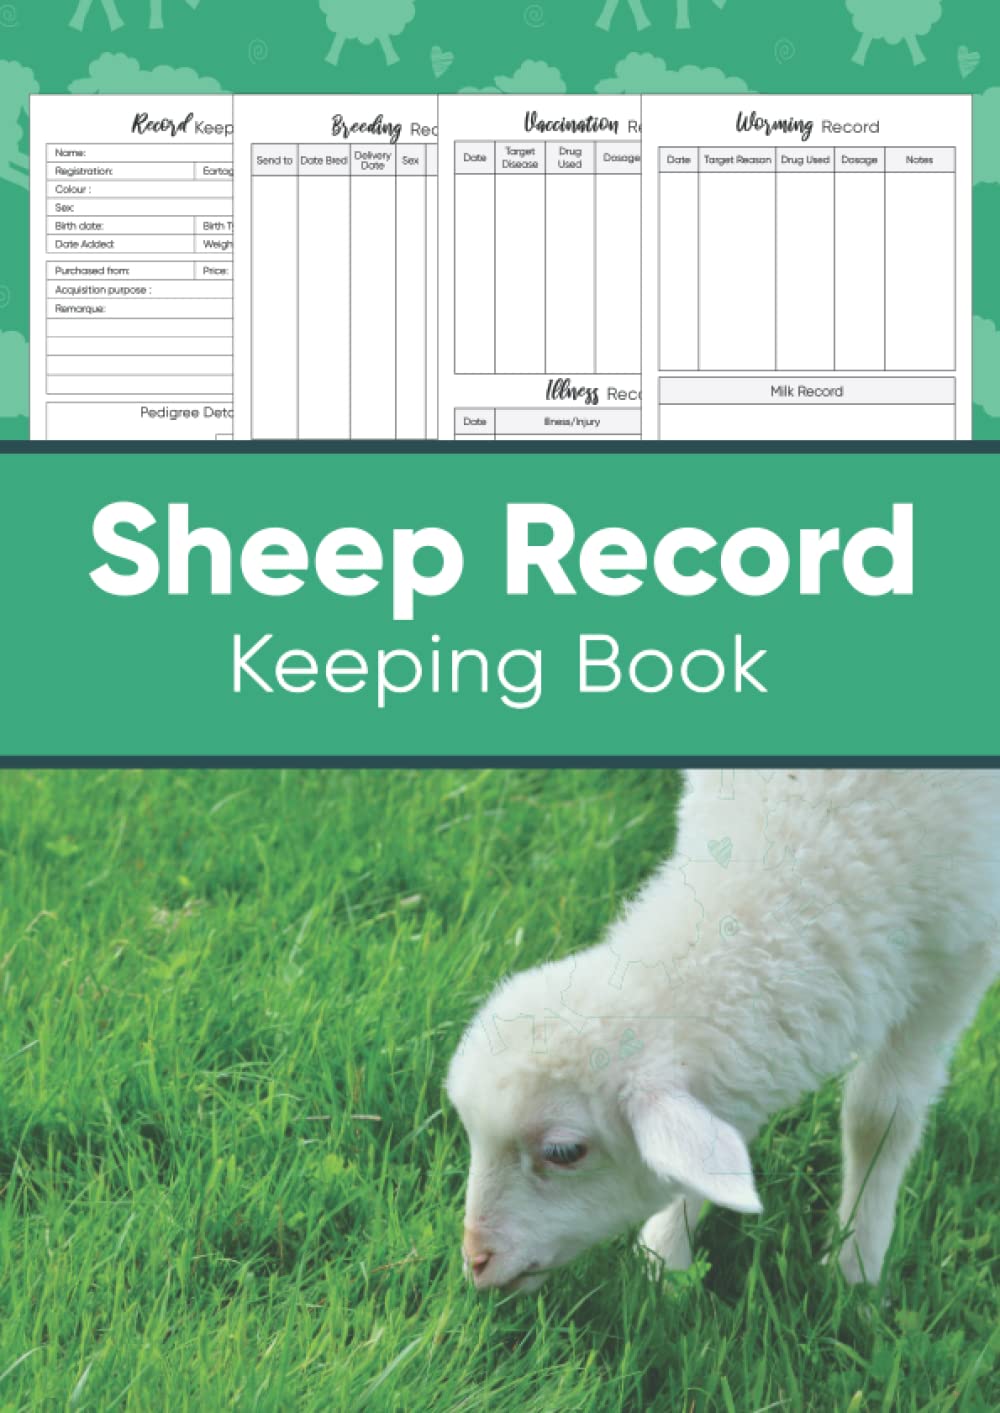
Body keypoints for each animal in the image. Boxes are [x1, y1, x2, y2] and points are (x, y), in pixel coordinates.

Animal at [447, 770, 1000, 1294]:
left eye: (565, 1152)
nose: (477, 1260)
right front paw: (666, 1262)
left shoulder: (959, 958)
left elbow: (881, 1116)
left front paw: (855, 1270)